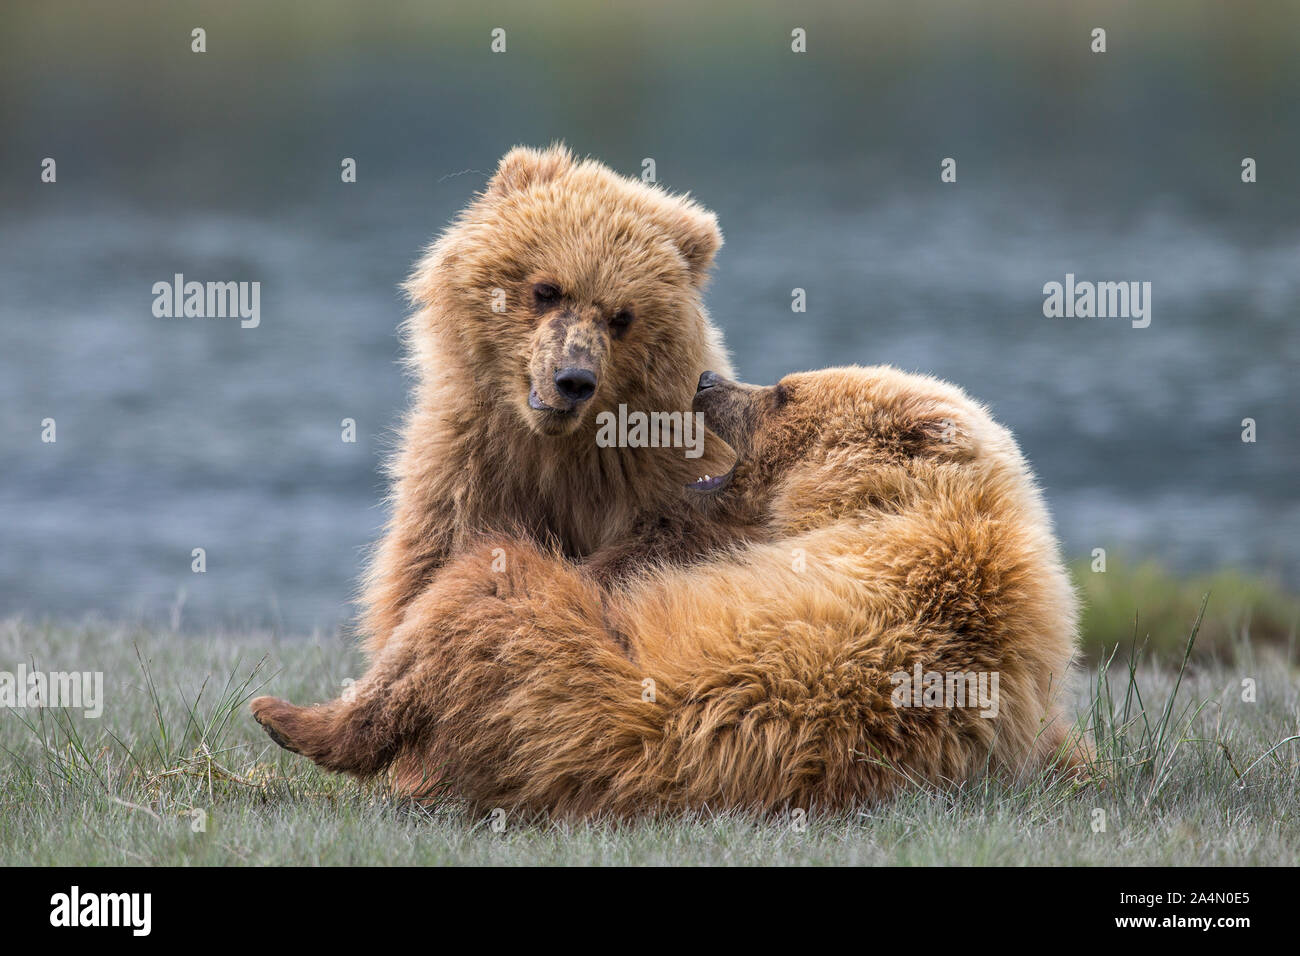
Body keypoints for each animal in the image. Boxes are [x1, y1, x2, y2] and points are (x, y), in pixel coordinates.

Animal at [360, 144, 743, 657]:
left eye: (622, 316)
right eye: (547, 289)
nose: (574, 379)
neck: (556, 449)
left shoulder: (667, 465)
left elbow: (674, 543)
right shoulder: (468, 467)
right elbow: (432, 560)